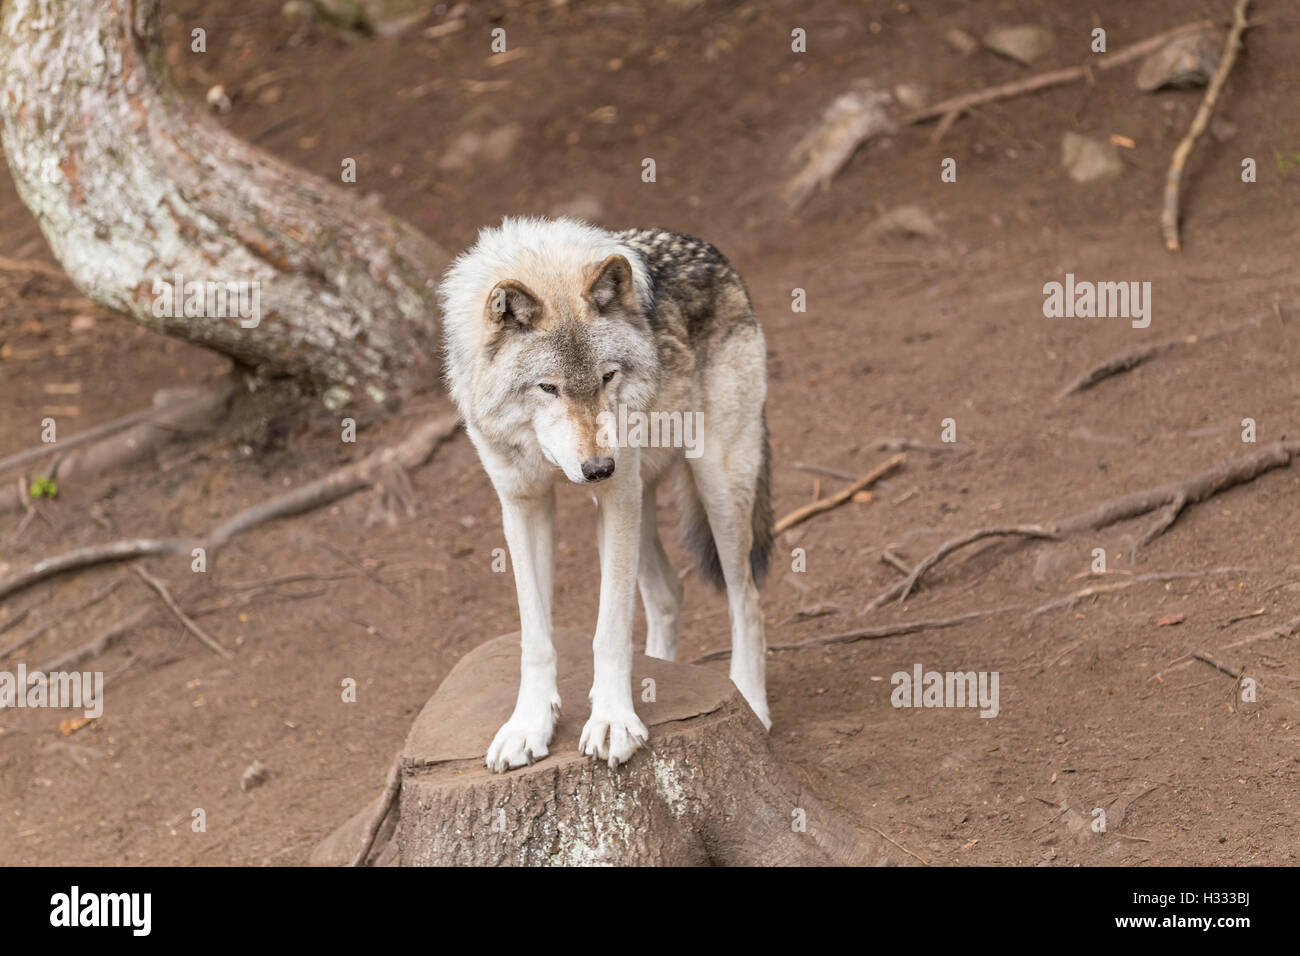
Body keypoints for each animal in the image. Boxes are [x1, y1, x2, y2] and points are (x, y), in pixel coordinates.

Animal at [440, 217, 772, 772]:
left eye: (607, 377)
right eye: (548, 388)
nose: (598, 468)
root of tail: (714, 253)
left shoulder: (616, 493)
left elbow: (611, 628)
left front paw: (614, 720)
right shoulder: (523, 504)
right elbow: (535, 635)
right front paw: (528, 725)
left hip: (714, 484)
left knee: (746, 600)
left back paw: (752, 702)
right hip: (642, 498)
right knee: (668, 594)